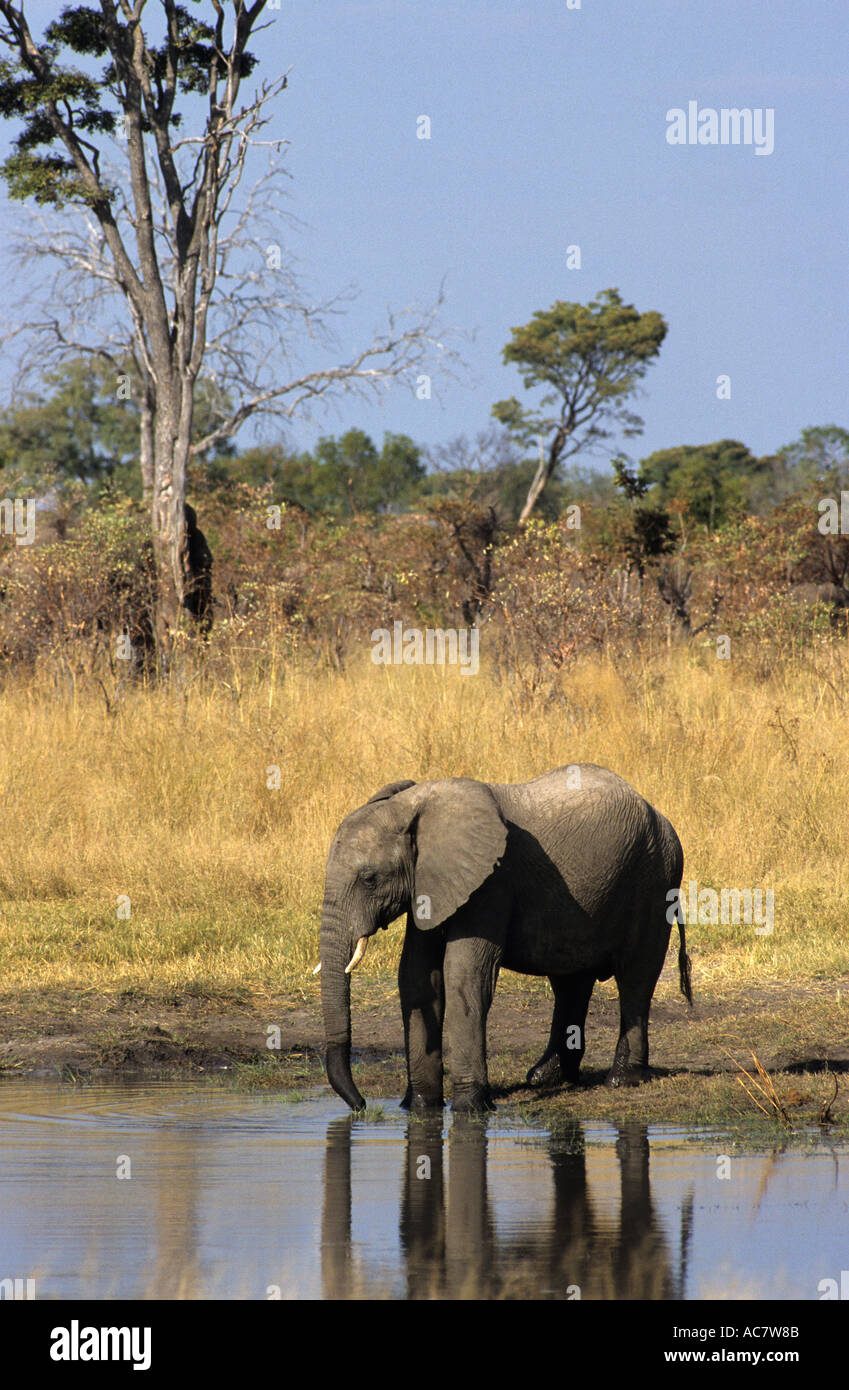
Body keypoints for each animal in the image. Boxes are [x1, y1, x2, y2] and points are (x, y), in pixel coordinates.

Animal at [319, 764, 690, 1113]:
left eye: (369, 878)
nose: (360, 1105)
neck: (414, 805)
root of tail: (658, 814)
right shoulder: (428, 883)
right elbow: (417, 977)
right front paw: (420, 1106)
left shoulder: (491, 883)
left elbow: (464, 978)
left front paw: (470, 1107)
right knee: (570, 982)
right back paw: (546, 1078)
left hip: (655, 879)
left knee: (635, 977)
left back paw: (622, 1079)